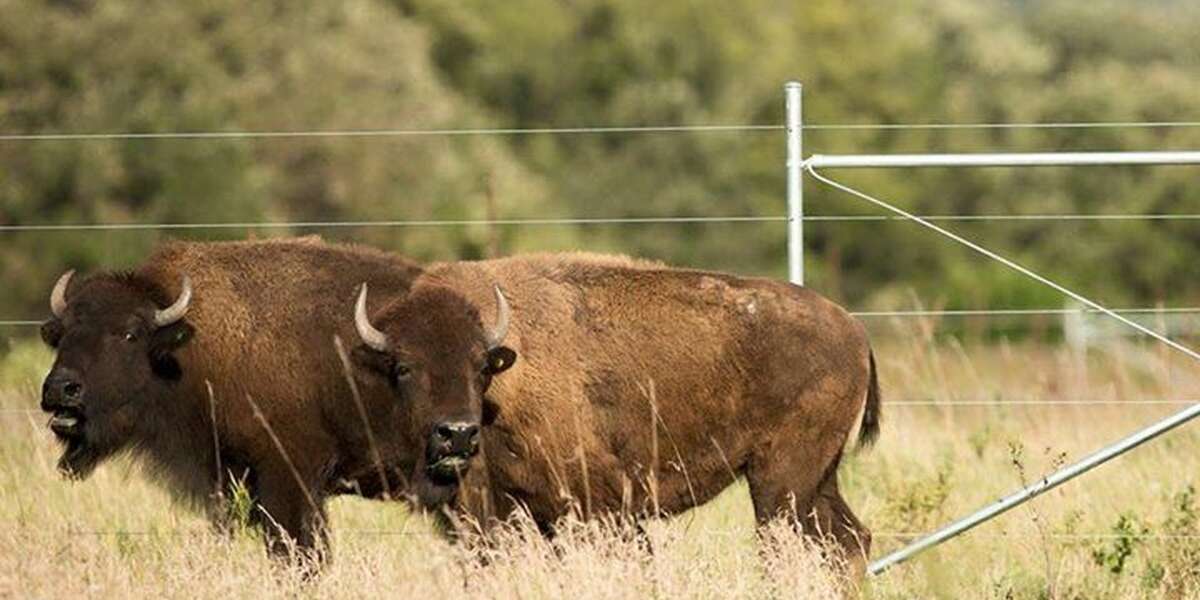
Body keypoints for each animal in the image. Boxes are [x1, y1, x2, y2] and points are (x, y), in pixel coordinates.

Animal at [351, 253, 881, 575]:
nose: (456, 435)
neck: (509, 372)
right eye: (403, 367)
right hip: (816, 479)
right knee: (849, 541)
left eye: (480, 366)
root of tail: (853, 328)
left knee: (788, 547)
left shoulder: (592, 502)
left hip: (780, 482)